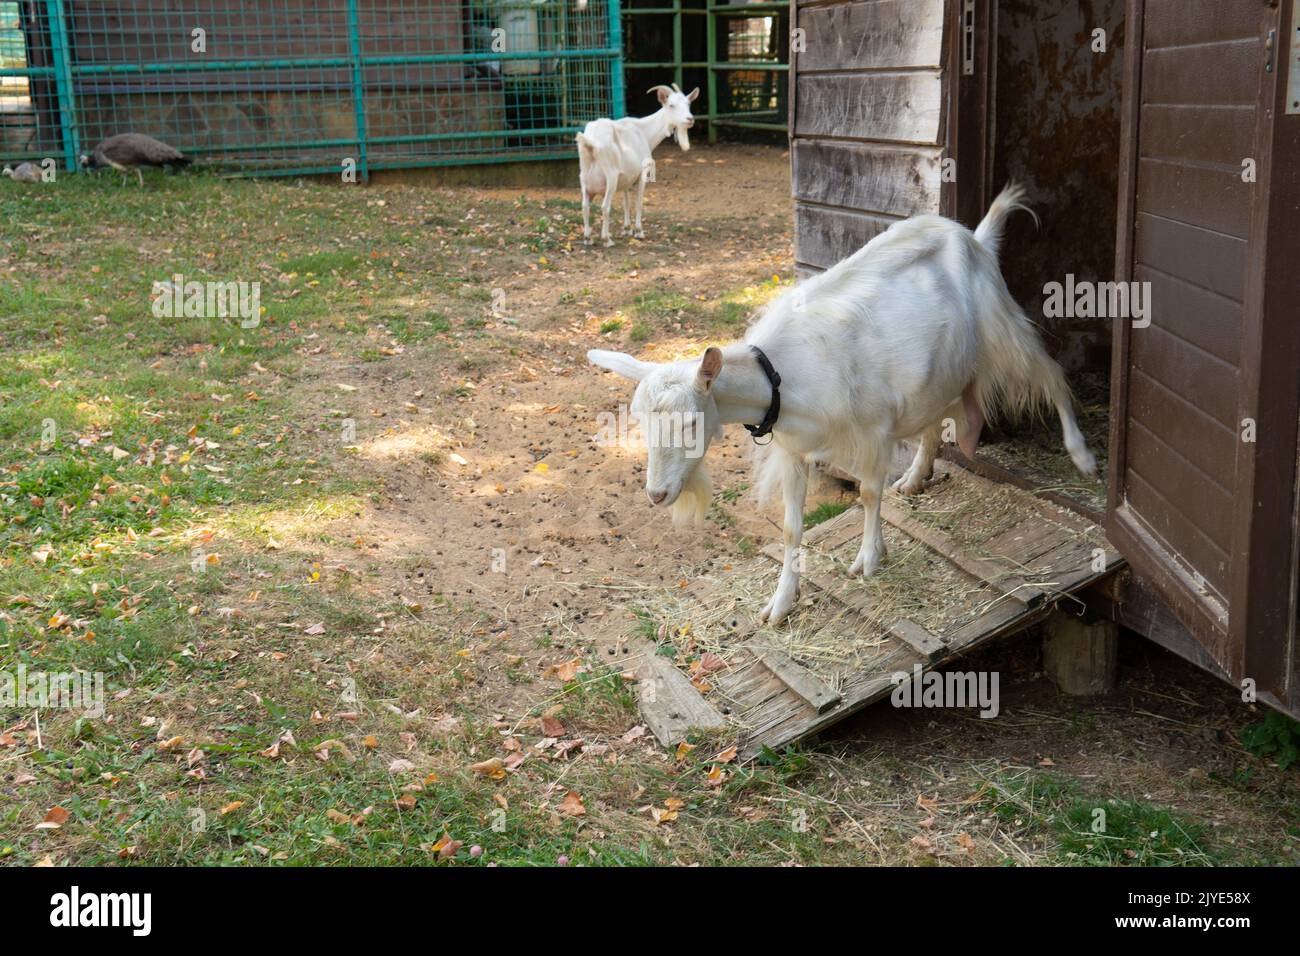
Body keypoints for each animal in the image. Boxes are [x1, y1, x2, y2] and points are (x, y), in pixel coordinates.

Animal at [577, 84, 698, 247]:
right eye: (671, 105)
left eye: (688, 104)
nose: (689, 119)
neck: (644, 131)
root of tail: (592, 144)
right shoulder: (643, 172)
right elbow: (638, 202)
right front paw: (639, 232)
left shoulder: (626, 176)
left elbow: (626, 201)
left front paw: (627, 229)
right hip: (611, 176)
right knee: (605, 206)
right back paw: (606, 239)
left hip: (584, 177)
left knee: (585, 206)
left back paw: (587, 238)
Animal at [588, 184, 1096, 626]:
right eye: (641, 426)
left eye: (691, 424)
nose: (656, 495)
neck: (780, 377)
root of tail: (975, 238)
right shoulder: (793, 450)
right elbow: (791, 527)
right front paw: (780, 604)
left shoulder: (873, 431)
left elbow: (868, 493)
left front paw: (869, 558)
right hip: (941, 370)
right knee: (936, 418)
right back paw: (915, 477)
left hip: (1004, 330)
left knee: (1051, 375)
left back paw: (1083, 456)